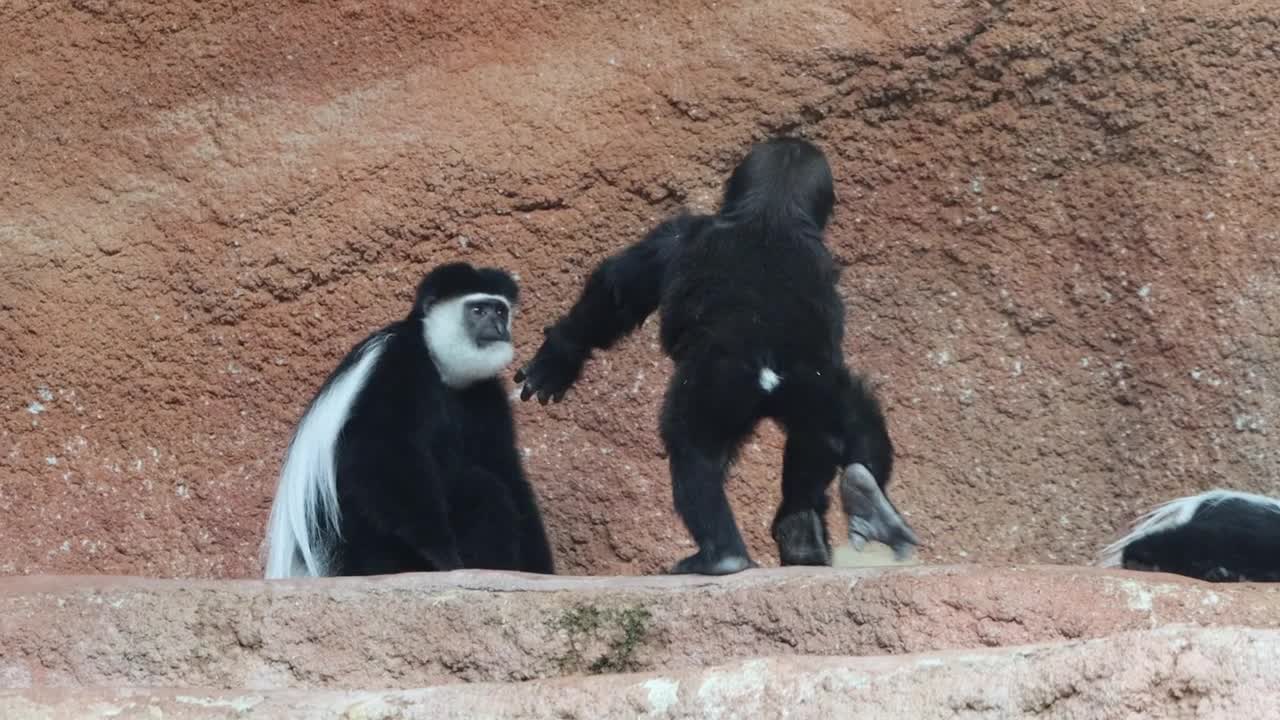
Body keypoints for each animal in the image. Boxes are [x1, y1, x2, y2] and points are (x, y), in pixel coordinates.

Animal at [262, 262, 555, 578]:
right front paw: (443, 554)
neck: (441, 368)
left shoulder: (487, 393)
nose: (498, 327)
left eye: (500, 310)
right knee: (475, 487)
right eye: (478, 310)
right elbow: (380, 452)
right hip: (355, 542)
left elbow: (504, 466)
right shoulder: (396, 362)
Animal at [514, 137, 917, 575]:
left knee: (692, 449)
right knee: (850, 427)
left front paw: (558, 355)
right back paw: (840, 514)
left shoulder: (678, 234)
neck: (772, 210)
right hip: (818, 389)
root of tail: (771, 372)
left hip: (717, 385)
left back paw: (724, 555)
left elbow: (616, 292)